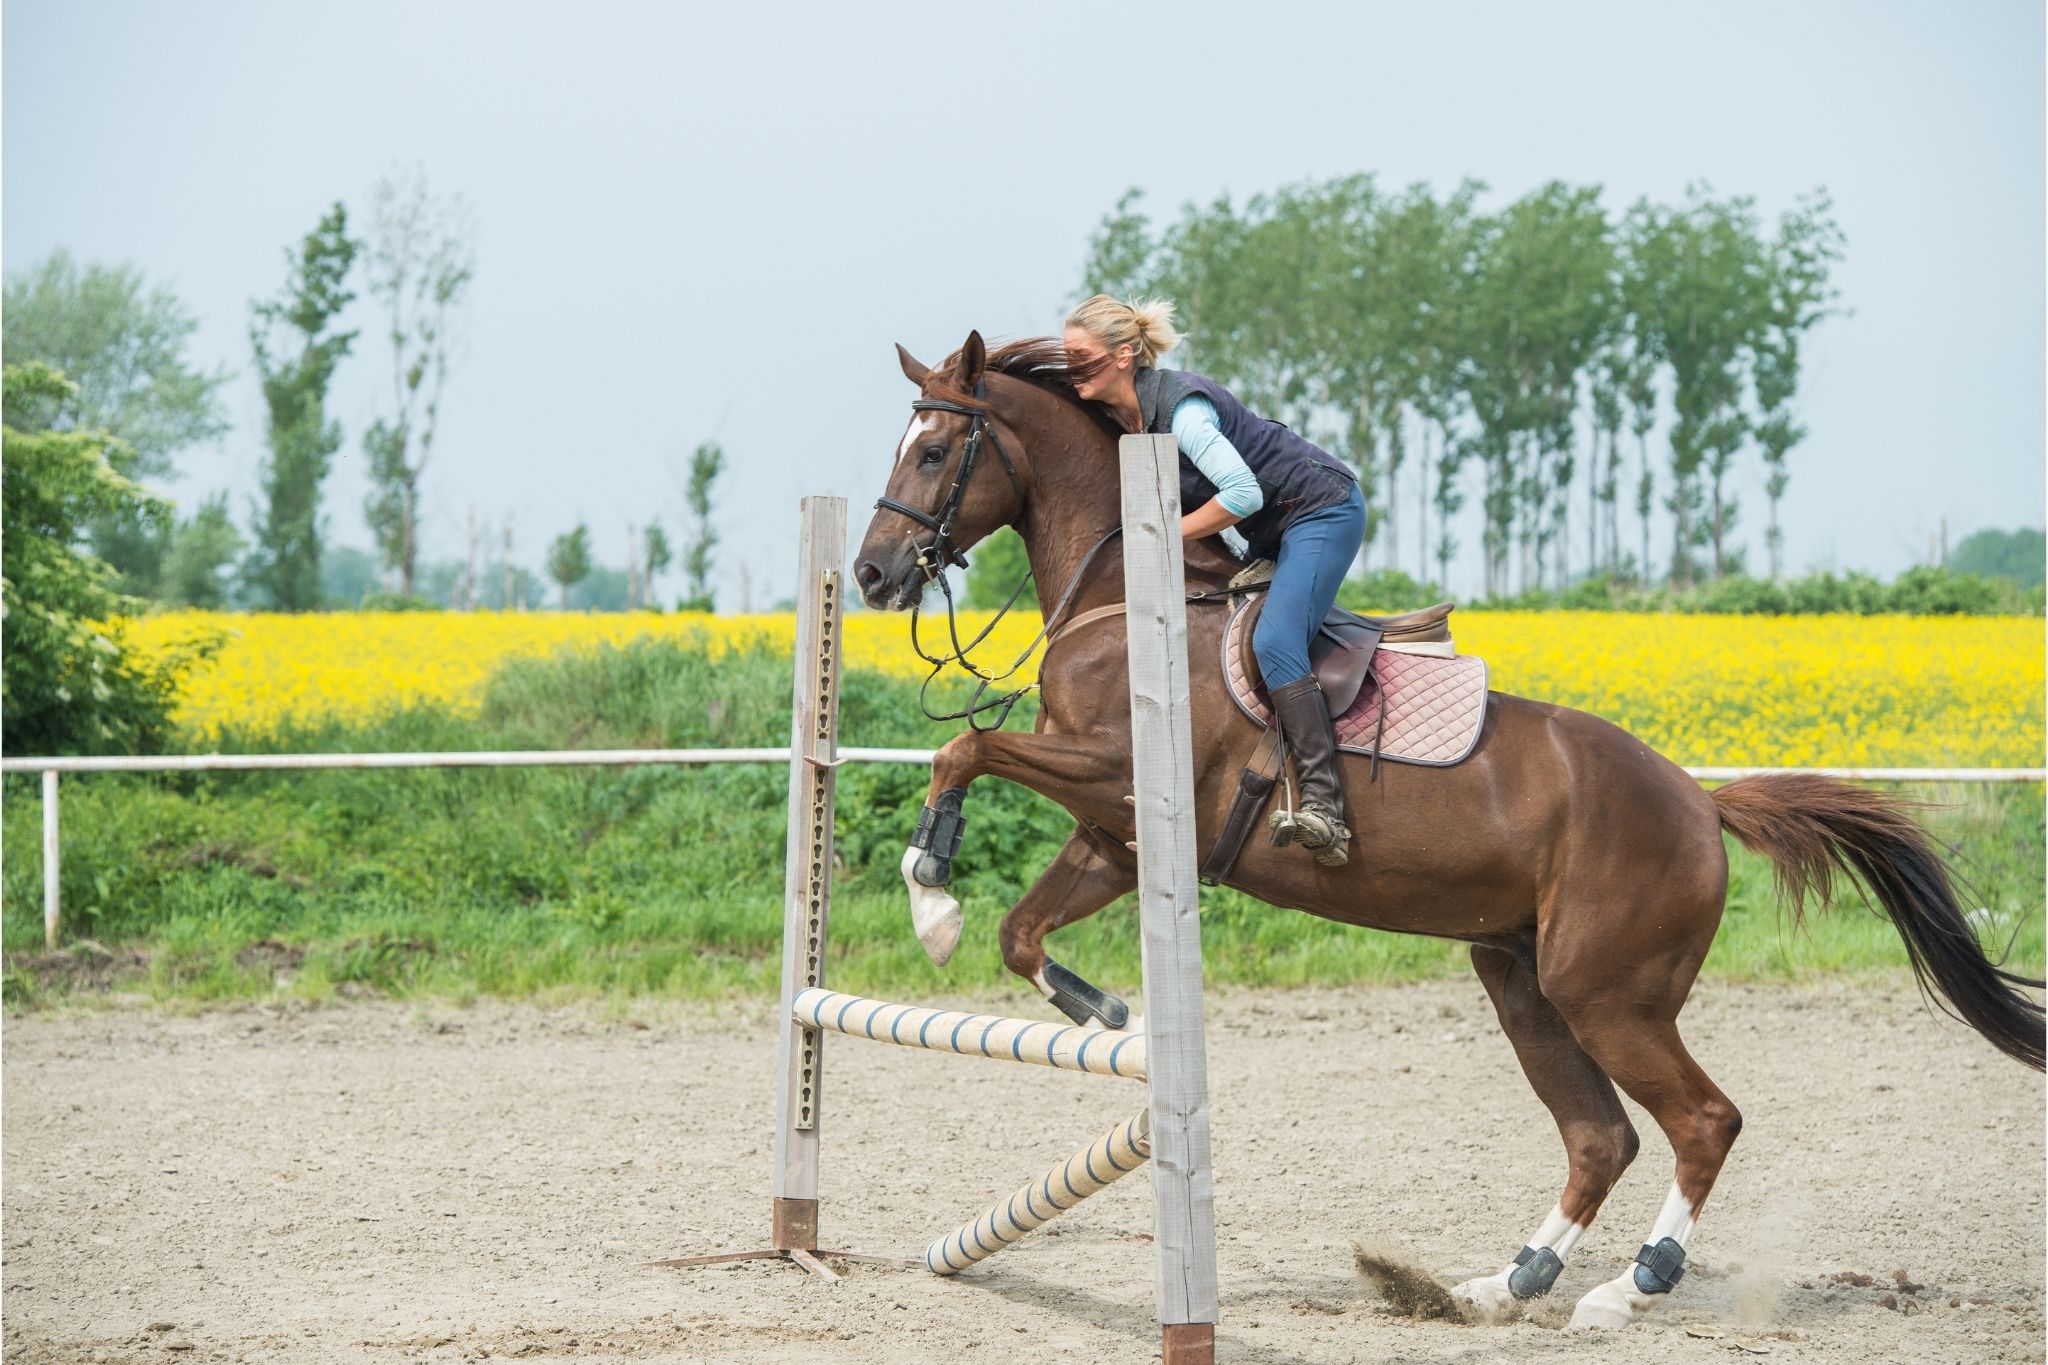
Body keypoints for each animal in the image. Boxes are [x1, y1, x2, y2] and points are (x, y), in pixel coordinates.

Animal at [851, 331, 2044, 1331]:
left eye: (937, 448)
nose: (870, 573)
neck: (1125, 595)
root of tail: (1698, 802)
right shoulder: (1120, 835)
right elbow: (1019, 930)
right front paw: (1094, 1005)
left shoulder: (1117, 779)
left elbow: (965, 752)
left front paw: (933, 888)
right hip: (1521, 975)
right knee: (1600, 1134)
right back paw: (1502, 1282)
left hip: (1607, 990)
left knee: (1701, 1120)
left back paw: (1627, 1287)